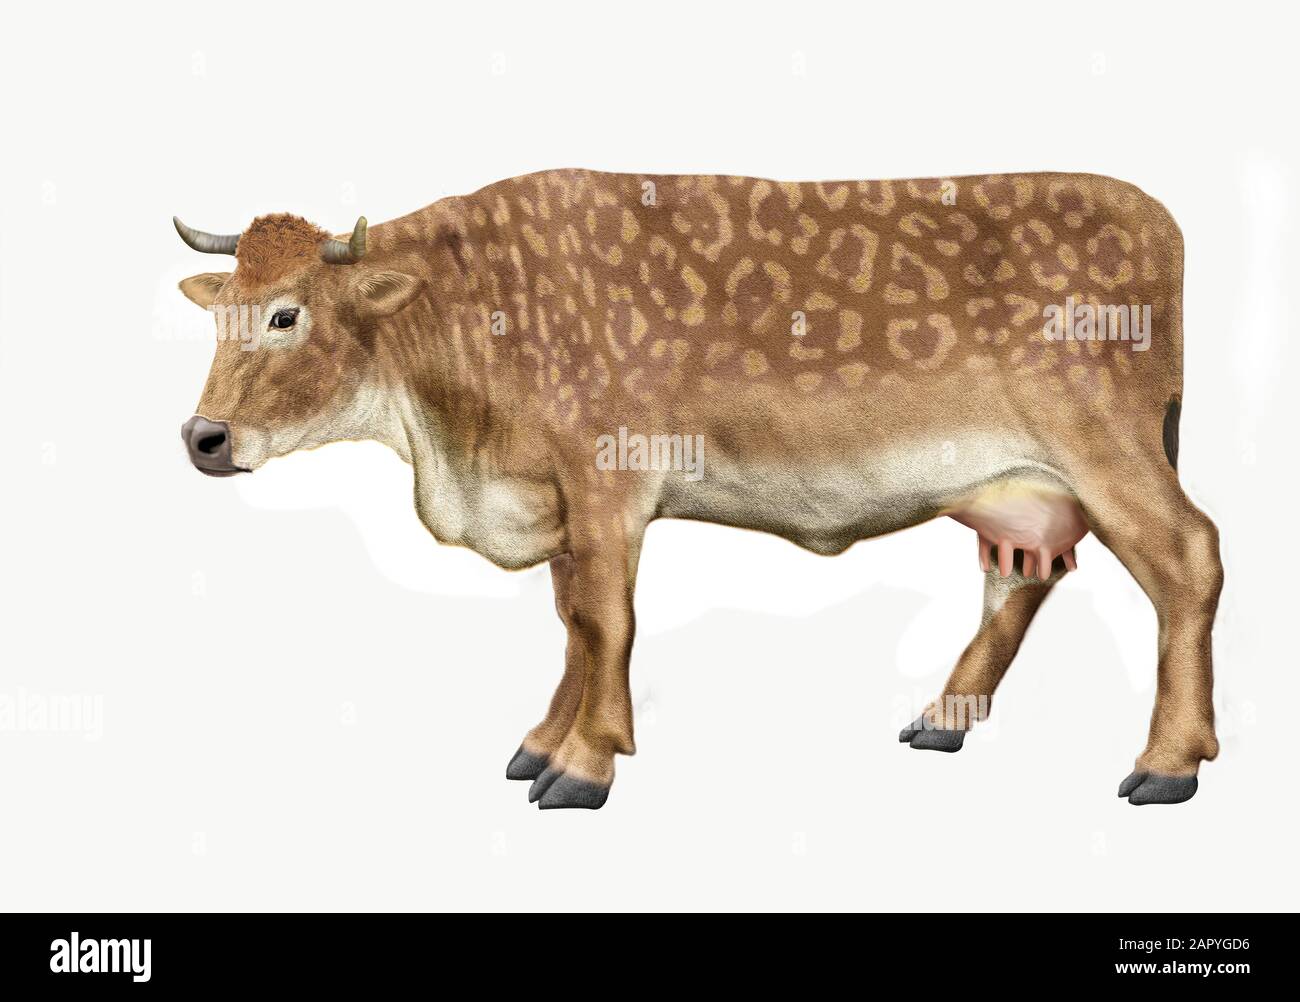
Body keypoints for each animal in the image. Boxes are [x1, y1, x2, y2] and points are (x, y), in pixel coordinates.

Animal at [174, 169, 1222, 809]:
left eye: (285, 315)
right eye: (220, 314)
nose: (203, 438)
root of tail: (1151, 212)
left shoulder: (607, 485)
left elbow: (605, 621)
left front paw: (584, 763)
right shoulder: (563, 504)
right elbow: (572, 622)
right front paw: (542, 743)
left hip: (1109, 449)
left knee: (1189, 558)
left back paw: (1167, 764)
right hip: (1015, 484)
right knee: (1025, 575)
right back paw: (940, 722)